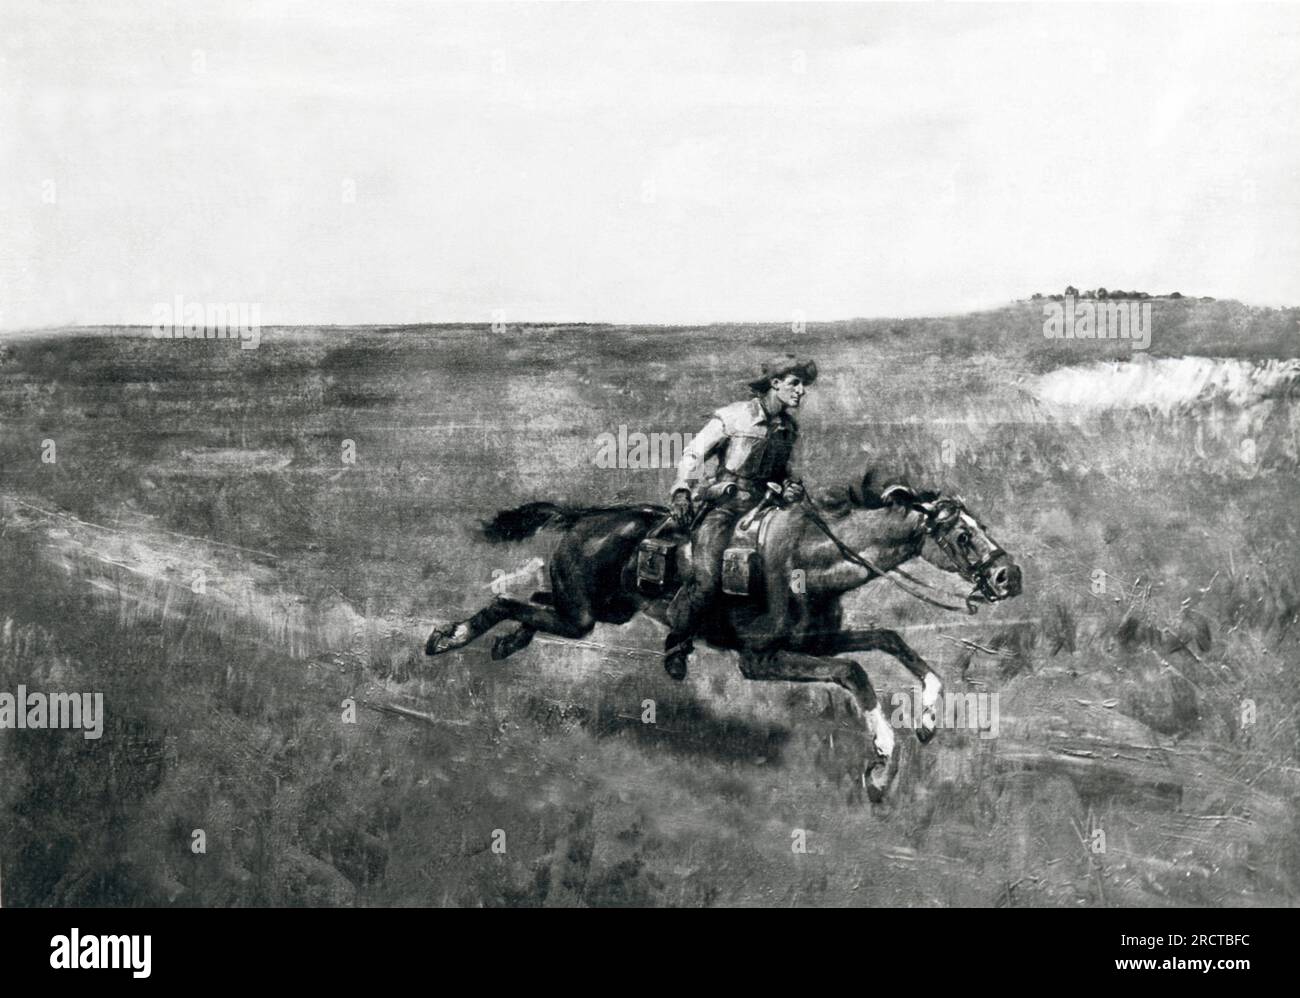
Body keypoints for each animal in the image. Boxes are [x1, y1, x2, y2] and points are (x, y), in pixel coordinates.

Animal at [425, 471, 1022, 800]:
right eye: (962, 533)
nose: (1008, 577)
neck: (808, 557)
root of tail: (584, 516)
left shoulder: (813, 643)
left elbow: (892, 640)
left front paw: (927, 719)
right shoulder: (761, 660)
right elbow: (855, 672)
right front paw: (880, 764)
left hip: (598, 613)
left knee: (533, 603)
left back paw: (508, 643)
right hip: (583, 616)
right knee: (508, 601)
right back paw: (448, 638)